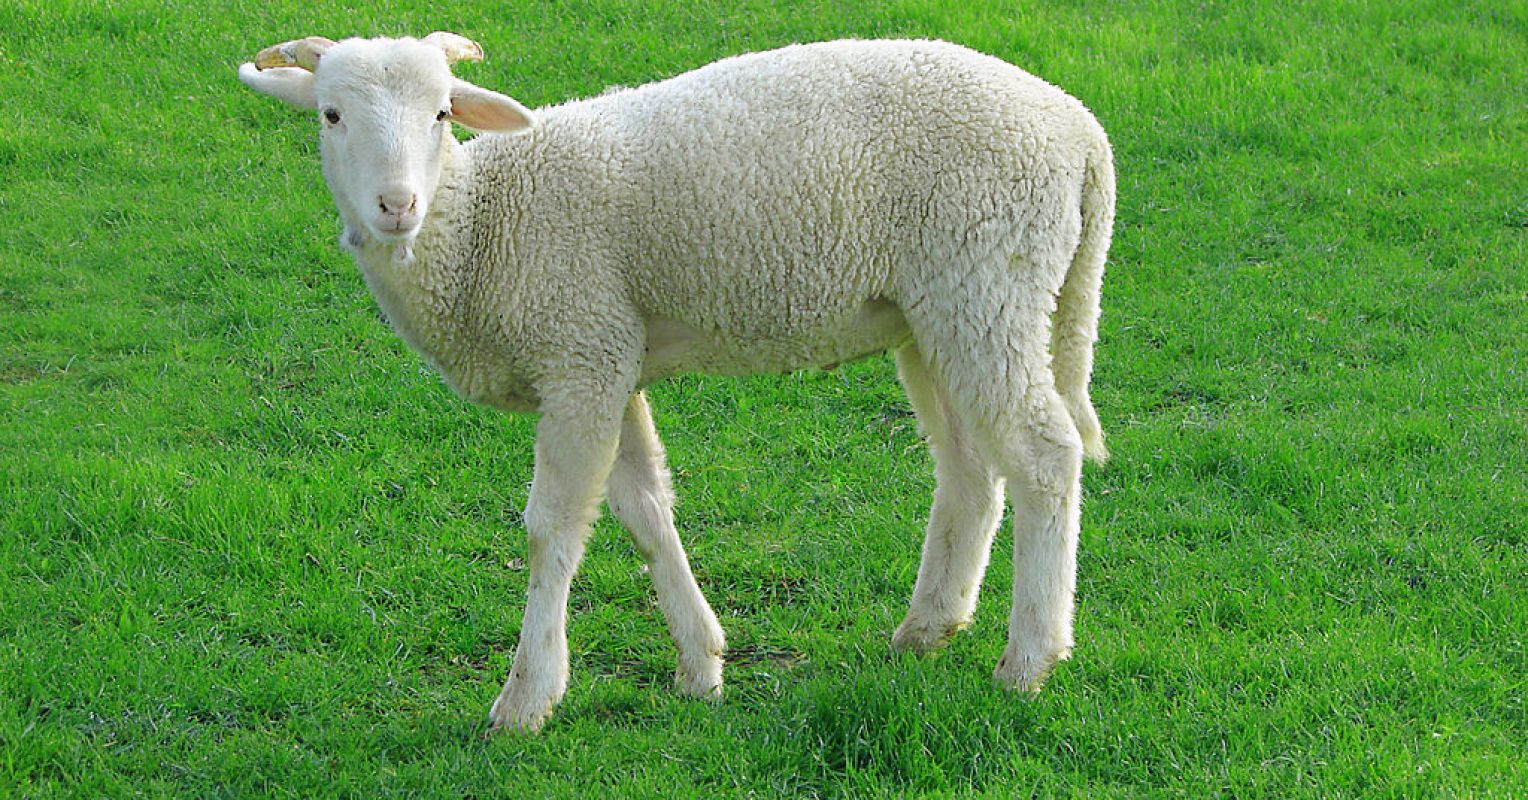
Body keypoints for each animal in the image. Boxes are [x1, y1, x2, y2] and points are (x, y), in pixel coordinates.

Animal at [238, 32, 1116, 734]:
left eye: (443, 115)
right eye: (331, 115)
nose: (397, 204)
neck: (479, 221)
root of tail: (1082, 131)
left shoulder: (579, 351)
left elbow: (552, 530)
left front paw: (526, 699)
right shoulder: (610, 356)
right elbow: (644, 510)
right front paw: (702, 664)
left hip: (988, 277)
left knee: (1043, 457)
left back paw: (1029, 660)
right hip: (936, 309)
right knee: (970, 470)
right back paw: (928, 628)